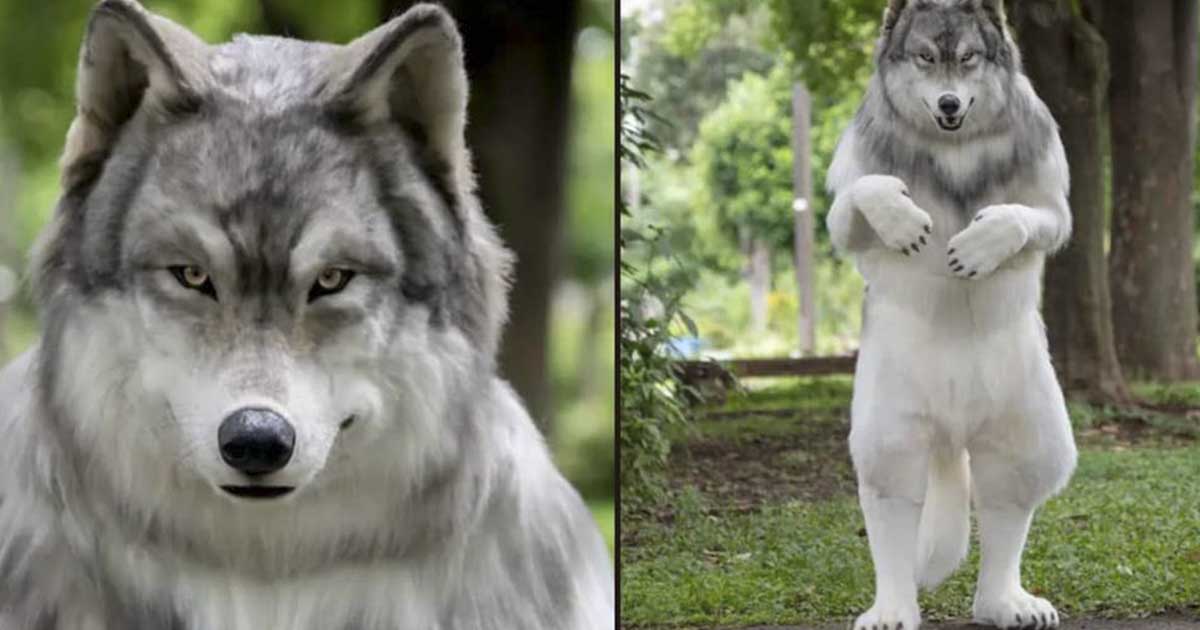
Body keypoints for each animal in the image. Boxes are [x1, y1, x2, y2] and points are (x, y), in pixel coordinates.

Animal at [825, 1, 1076, 628]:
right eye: (924, 58)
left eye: (968, 59)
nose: (948, 104)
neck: (954, 148)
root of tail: (954, 425)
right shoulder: (857, 176)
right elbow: (859, 197)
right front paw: (898, 218)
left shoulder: (1043, 180)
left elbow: (1037, 216)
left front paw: (987, 240)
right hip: (892, 412)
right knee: (893, 491)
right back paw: (893, 608)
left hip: (1023, 408)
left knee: (1010, 487)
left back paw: (1004, 602)